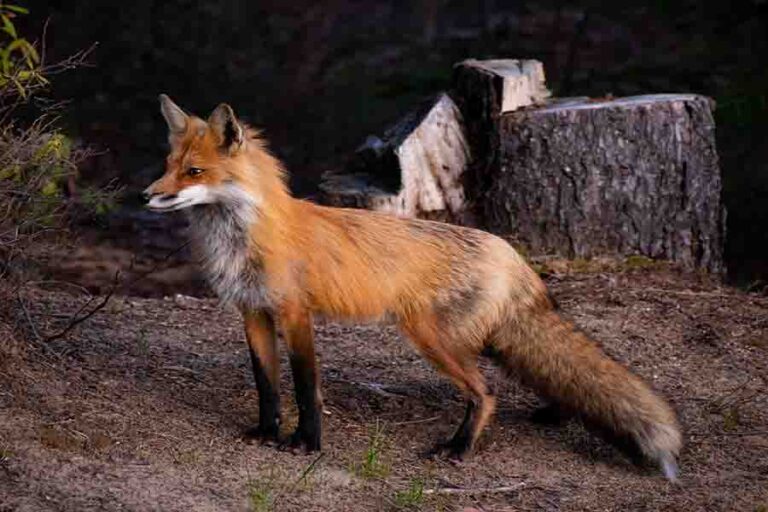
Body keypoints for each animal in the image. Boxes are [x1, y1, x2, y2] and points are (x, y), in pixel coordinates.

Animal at [144, 94, 682, 480]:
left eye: (194, 172)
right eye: (167, 165)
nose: (147, 195)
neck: (245, 237)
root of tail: (509, 251)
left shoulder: (296, 314)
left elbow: (305, 386)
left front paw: (306, 444)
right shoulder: (253, 311)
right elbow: (267, 385)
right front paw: (266, 432)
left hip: (435, 339)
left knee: (487, 394)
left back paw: (460, 448)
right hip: (482, 340)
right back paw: (553, 416)